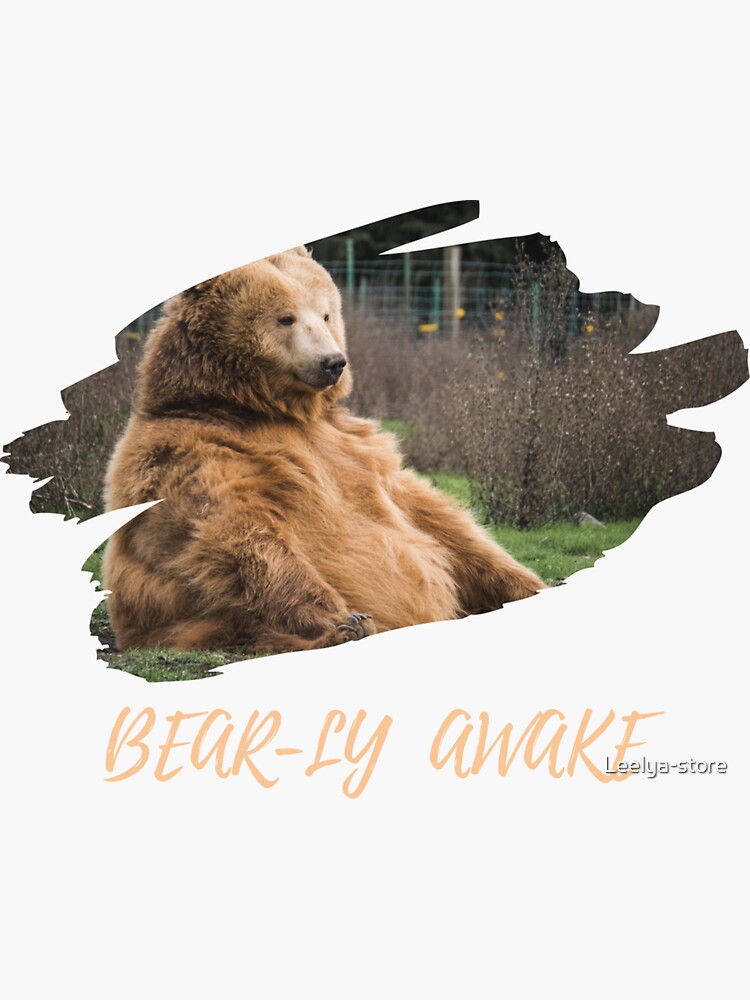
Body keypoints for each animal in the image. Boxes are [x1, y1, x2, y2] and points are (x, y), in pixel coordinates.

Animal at [102, 246, 546, 654]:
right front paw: (344, 620)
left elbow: (434, 516)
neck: (252, 407)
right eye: (286, 317)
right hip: (195, 621)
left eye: (326, 313)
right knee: (244, 623)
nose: (334, 362)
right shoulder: (194, 452)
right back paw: (344, 633)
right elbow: (239, 534)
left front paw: (526, 583)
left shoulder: (353, 446)